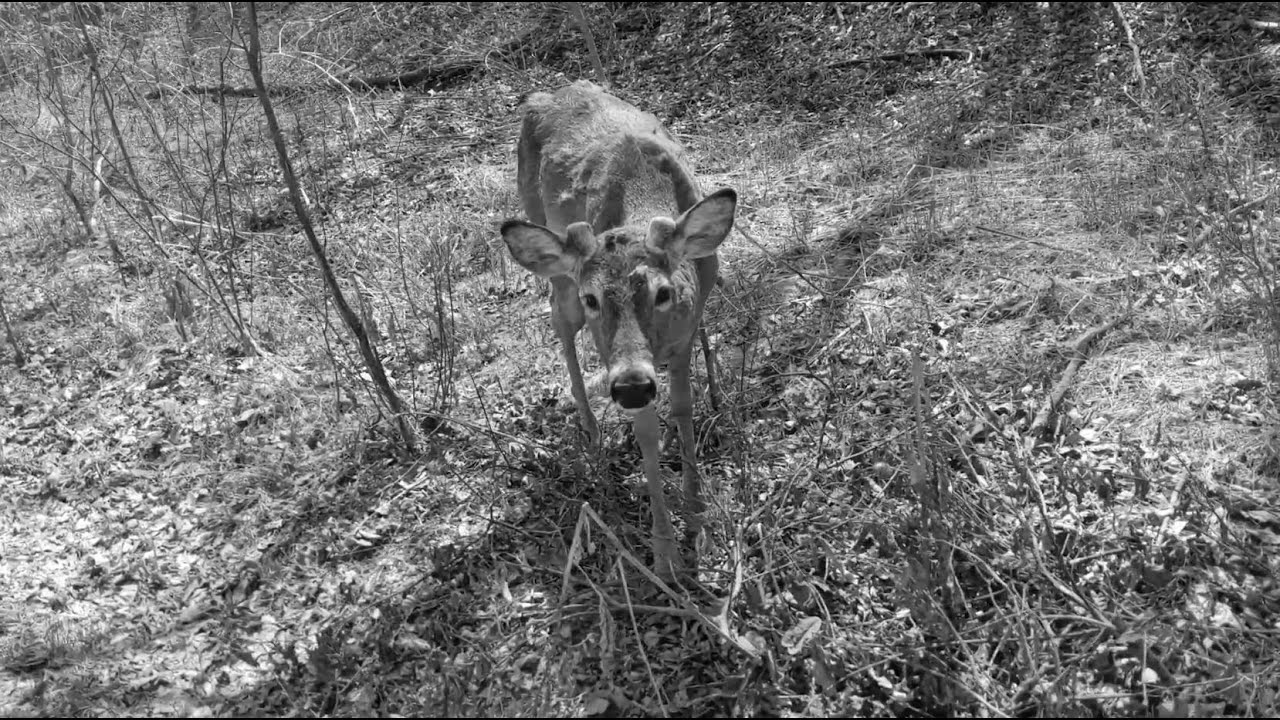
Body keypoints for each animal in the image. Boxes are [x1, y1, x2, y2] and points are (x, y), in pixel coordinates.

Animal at [500, 81, 736, 577]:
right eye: (594, 298)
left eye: (664, 292)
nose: (630, 386)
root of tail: (546, 95)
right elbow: (644, 432)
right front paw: (665, 555)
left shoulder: (686, 332)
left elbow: (684, 408)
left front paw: (698, 519)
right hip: (554, 261)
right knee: (558, 318)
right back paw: (590, 429)